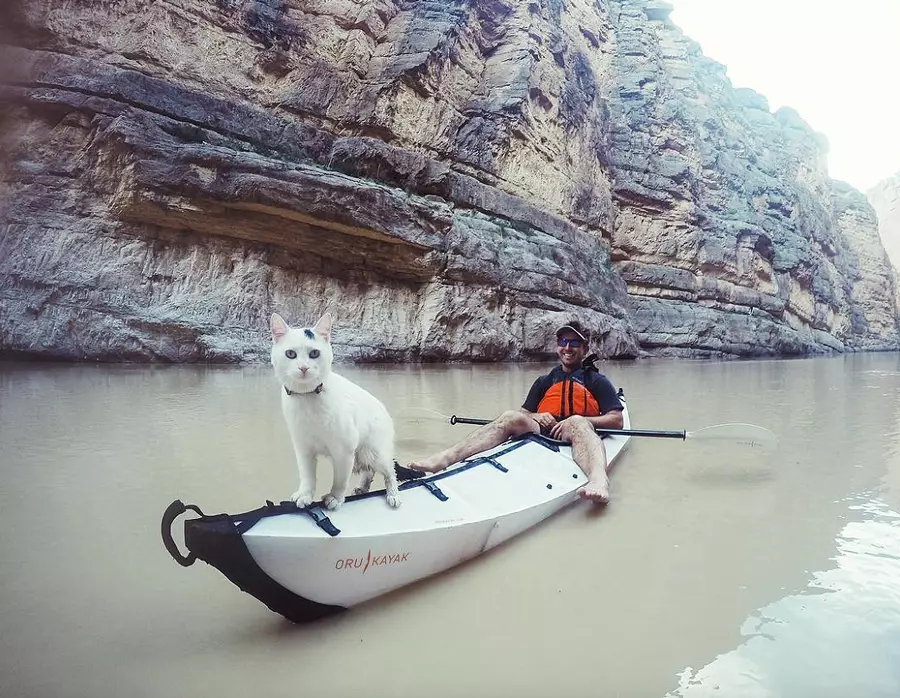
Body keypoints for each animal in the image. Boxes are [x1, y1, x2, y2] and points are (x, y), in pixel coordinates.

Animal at [268, 312, 400, 508]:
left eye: (314, 353)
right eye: (290, 354)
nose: (303, 368)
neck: (307, 398)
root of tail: (385, 410)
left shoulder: (344, 449)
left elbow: (340, 479)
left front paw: (335, 498)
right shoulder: (303, 447)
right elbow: (307, 476)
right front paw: (305, 495)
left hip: (373, 452)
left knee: (389, 470)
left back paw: (393, 494)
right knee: (369, 471)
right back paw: (362, 487)